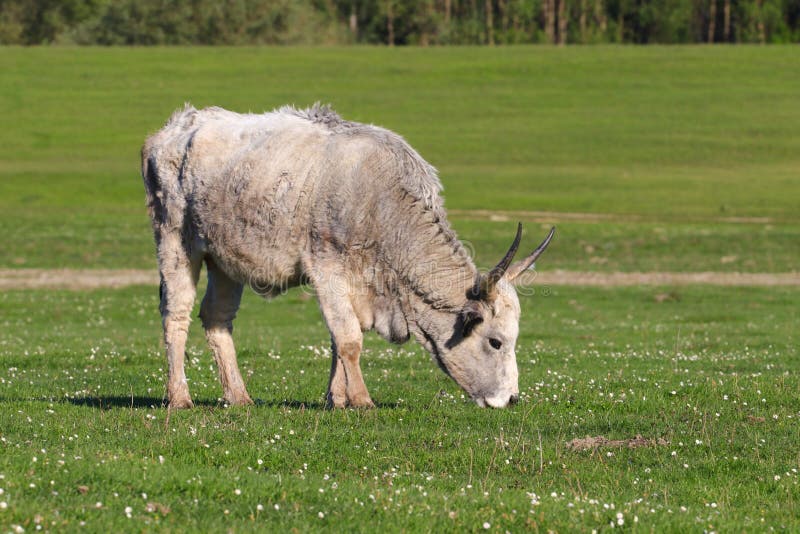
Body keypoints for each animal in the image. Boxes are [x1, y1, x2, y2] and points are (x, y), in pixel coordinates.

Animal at [141, 104, 554, 409]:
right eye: (495, 341)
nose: (512, 399)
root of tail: (176, 126)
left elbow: (338, 341)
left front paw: (336, 398)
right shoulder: (328, 270)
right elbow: (349, 338)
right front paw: (361, 399)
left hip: (225, 259)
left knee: (217, 318)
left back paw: (239, 396)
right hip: (175, 241)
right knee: (176, 314)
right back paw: (179, 397)